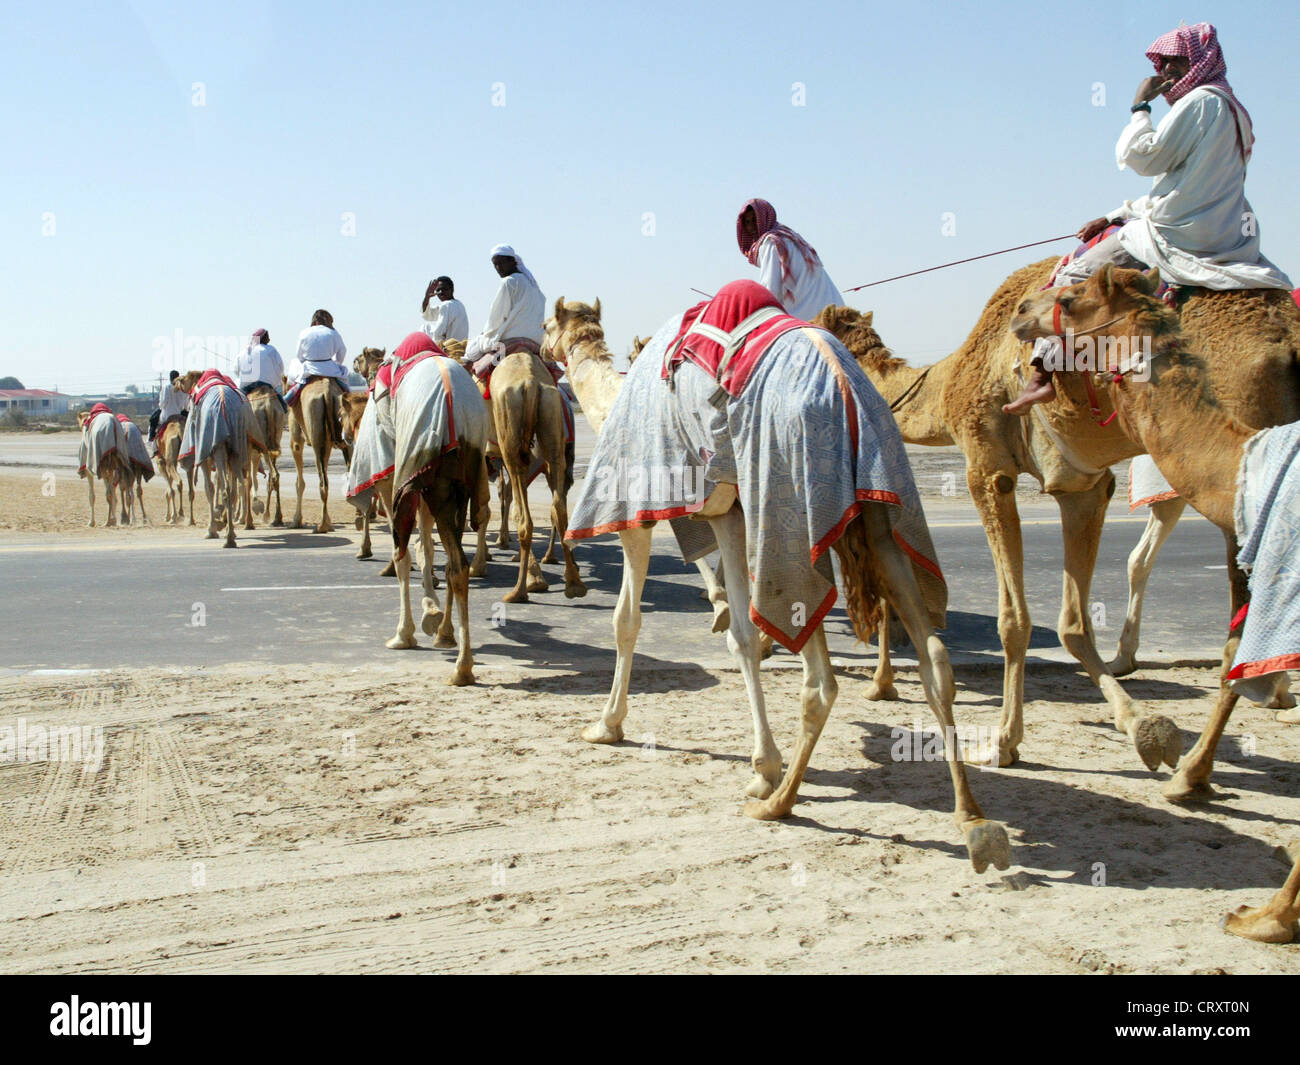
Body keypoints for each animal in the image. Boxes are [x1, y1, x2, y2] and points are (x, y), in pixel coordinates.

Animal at [814, 259, 1300, 771]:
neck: (948, 382)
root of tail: (1287, 340)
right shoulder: (1080, 486)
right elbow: (1073, 622)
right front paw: (1139, 724)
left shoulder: (988, 468)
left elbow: (1014, 620)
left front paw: (1002, 741)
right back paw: (1263, 700)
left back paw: (1203, 761)